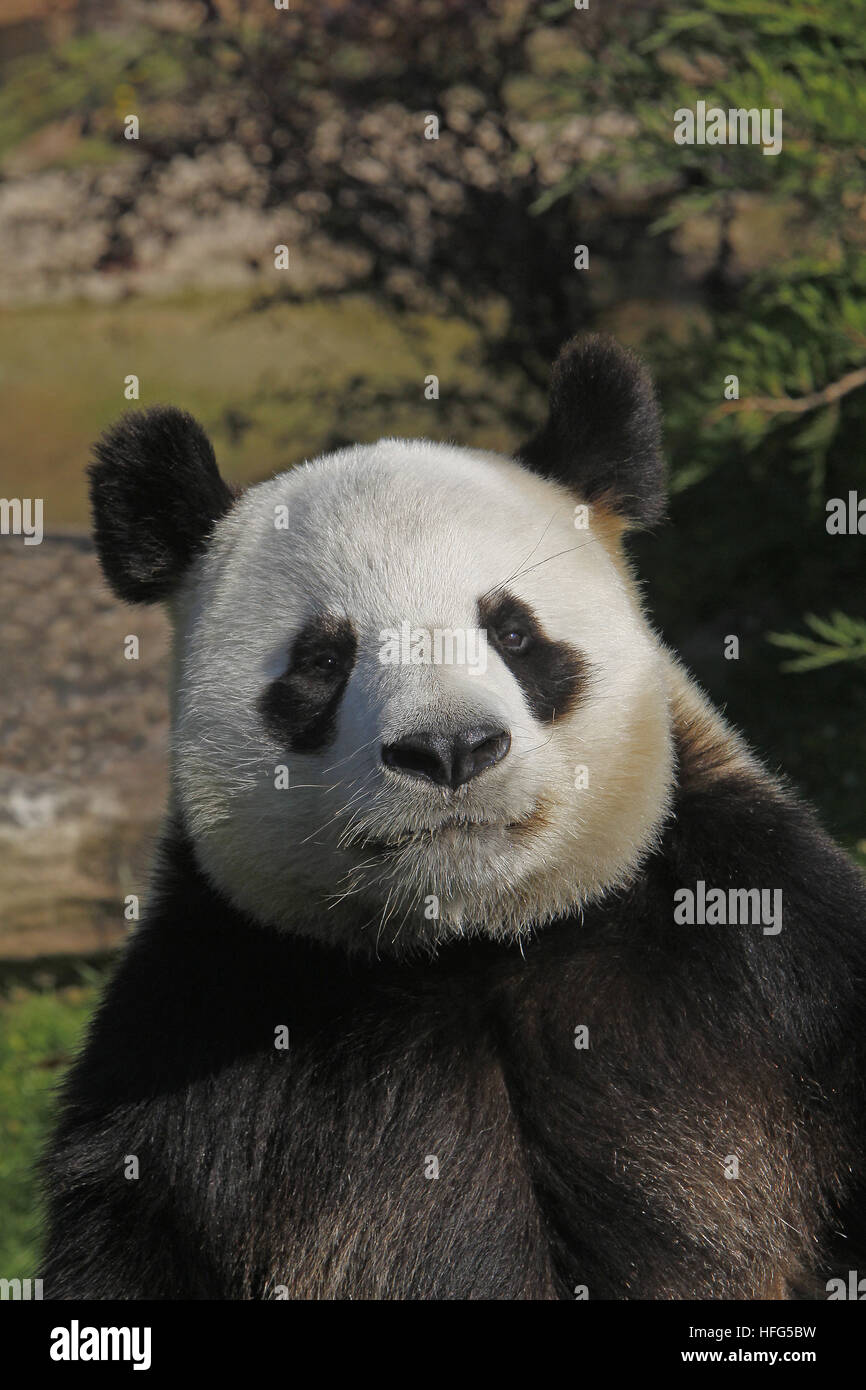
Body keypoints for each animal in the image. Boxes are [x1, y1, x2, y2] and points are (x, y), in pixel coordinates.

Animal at [42, 335, 866, 1300]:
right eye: (323, 661)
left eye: (512, 632)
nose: (449, 751)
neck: (473, 942)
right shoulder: (202, 1052)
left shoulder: (771, 979)